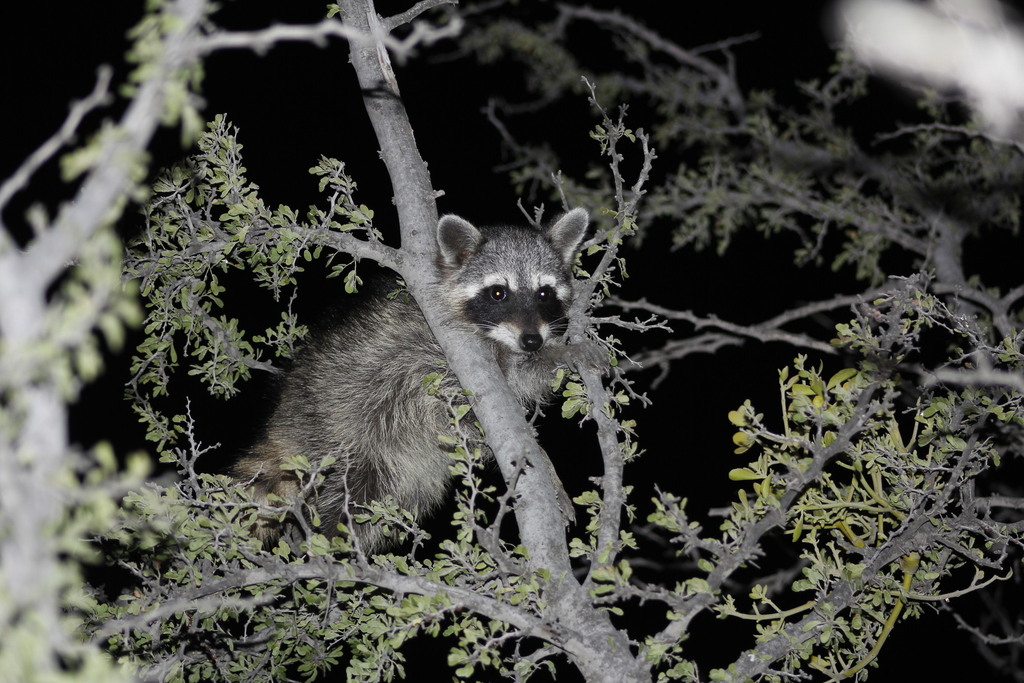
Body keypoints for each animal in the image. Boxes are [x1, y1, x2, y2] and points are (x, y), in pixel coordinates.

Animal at [230, 208, 589, 552]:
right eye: (498, 293)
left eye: (544, 293)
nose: (532, 341)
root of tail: (282, 420)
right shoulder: (432, 358)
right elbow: (462, 412)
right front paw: (542, 457)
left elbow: (521, 376)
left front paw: (559, 353)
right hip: (335, 427)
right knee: (341, 490)